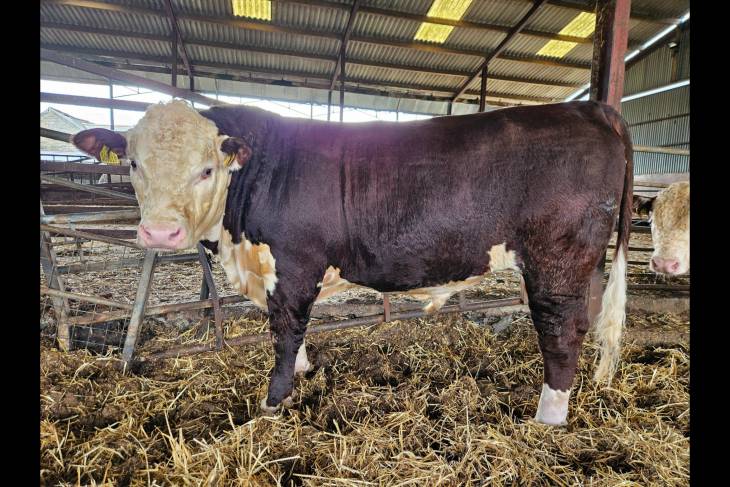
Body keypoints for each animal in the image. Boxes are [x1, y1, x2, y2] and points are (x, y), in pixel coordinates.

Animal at [72, 99, 633, 426]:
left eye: (207, 169)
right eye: (133, 163)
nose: (159, 232)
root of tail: (589, 108)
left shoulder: (295, 265)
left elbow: (286, 331)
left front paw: (272, 405)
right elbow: (294, 334)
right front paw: (304, 376)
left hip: (557, 259)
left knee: (562, 333)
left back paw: (548, 419)